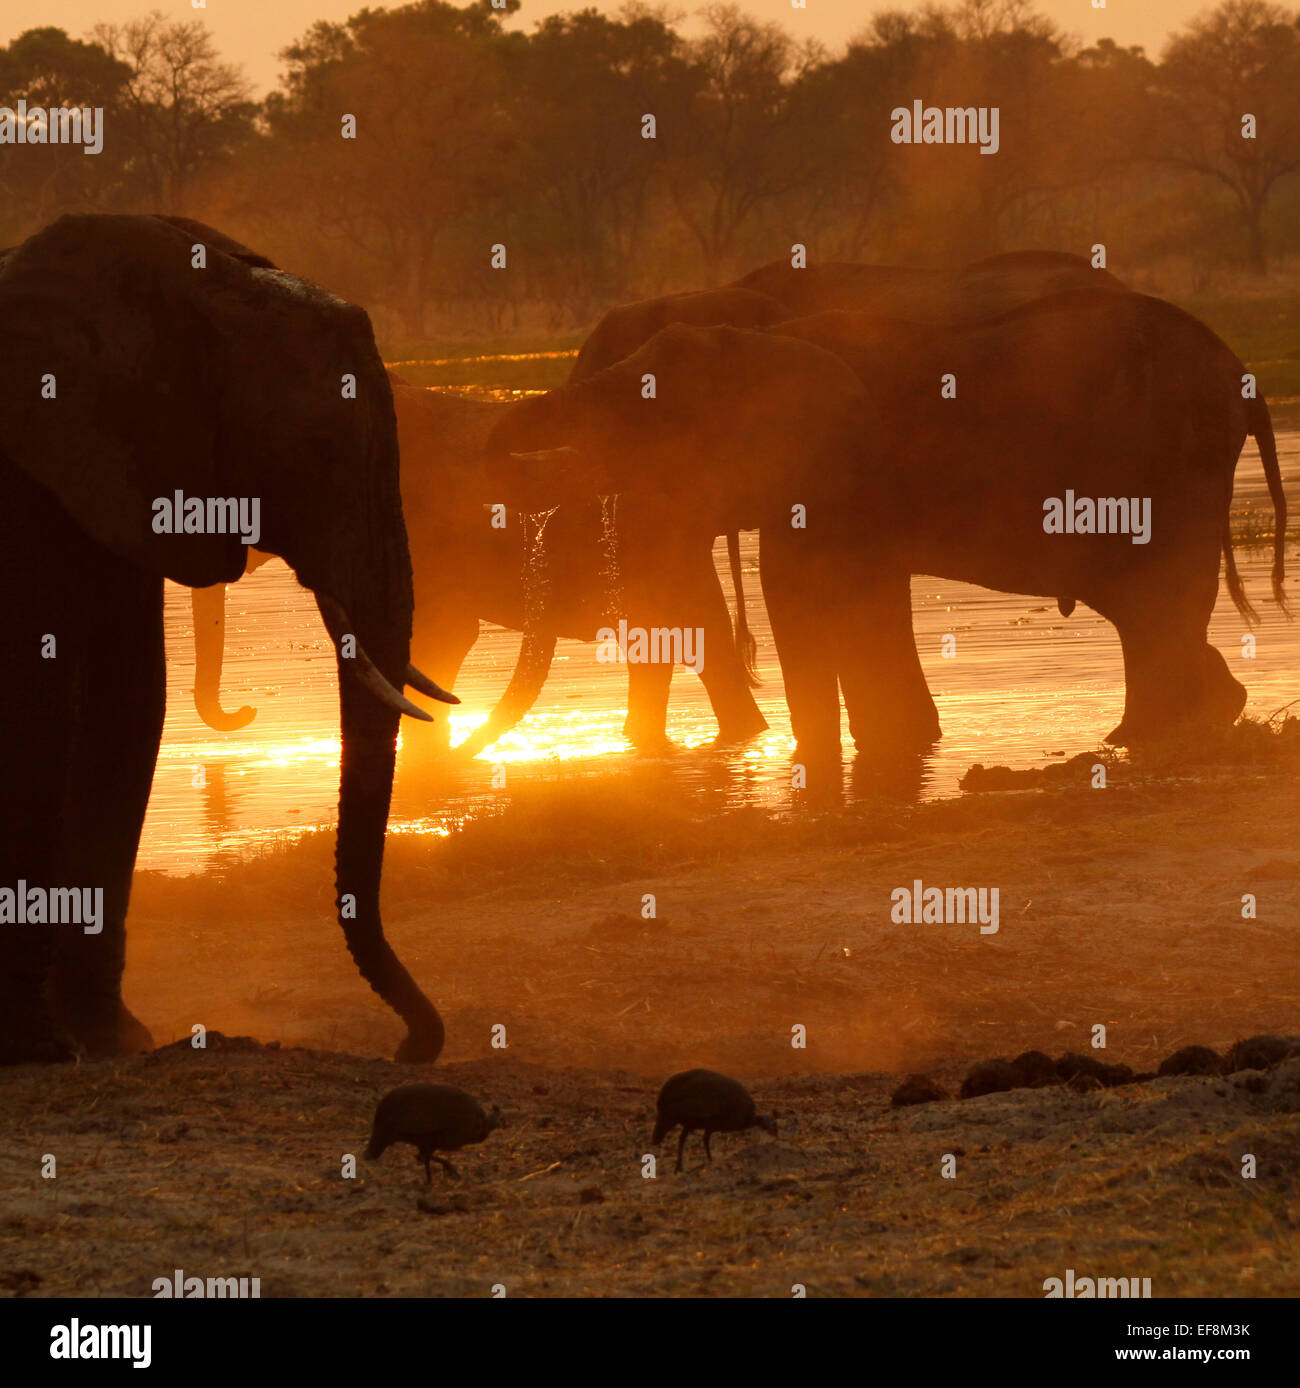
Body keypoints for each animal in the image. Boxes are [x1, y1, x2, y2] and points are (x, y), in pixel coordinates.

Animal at [0, 213, 456, 1064]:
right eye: (316, 454)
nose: (411, 1048)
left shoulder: (120, 466)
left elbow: (129, 697)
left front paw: (115, 1042)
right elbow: (39, 706)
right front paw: (38, 1050)